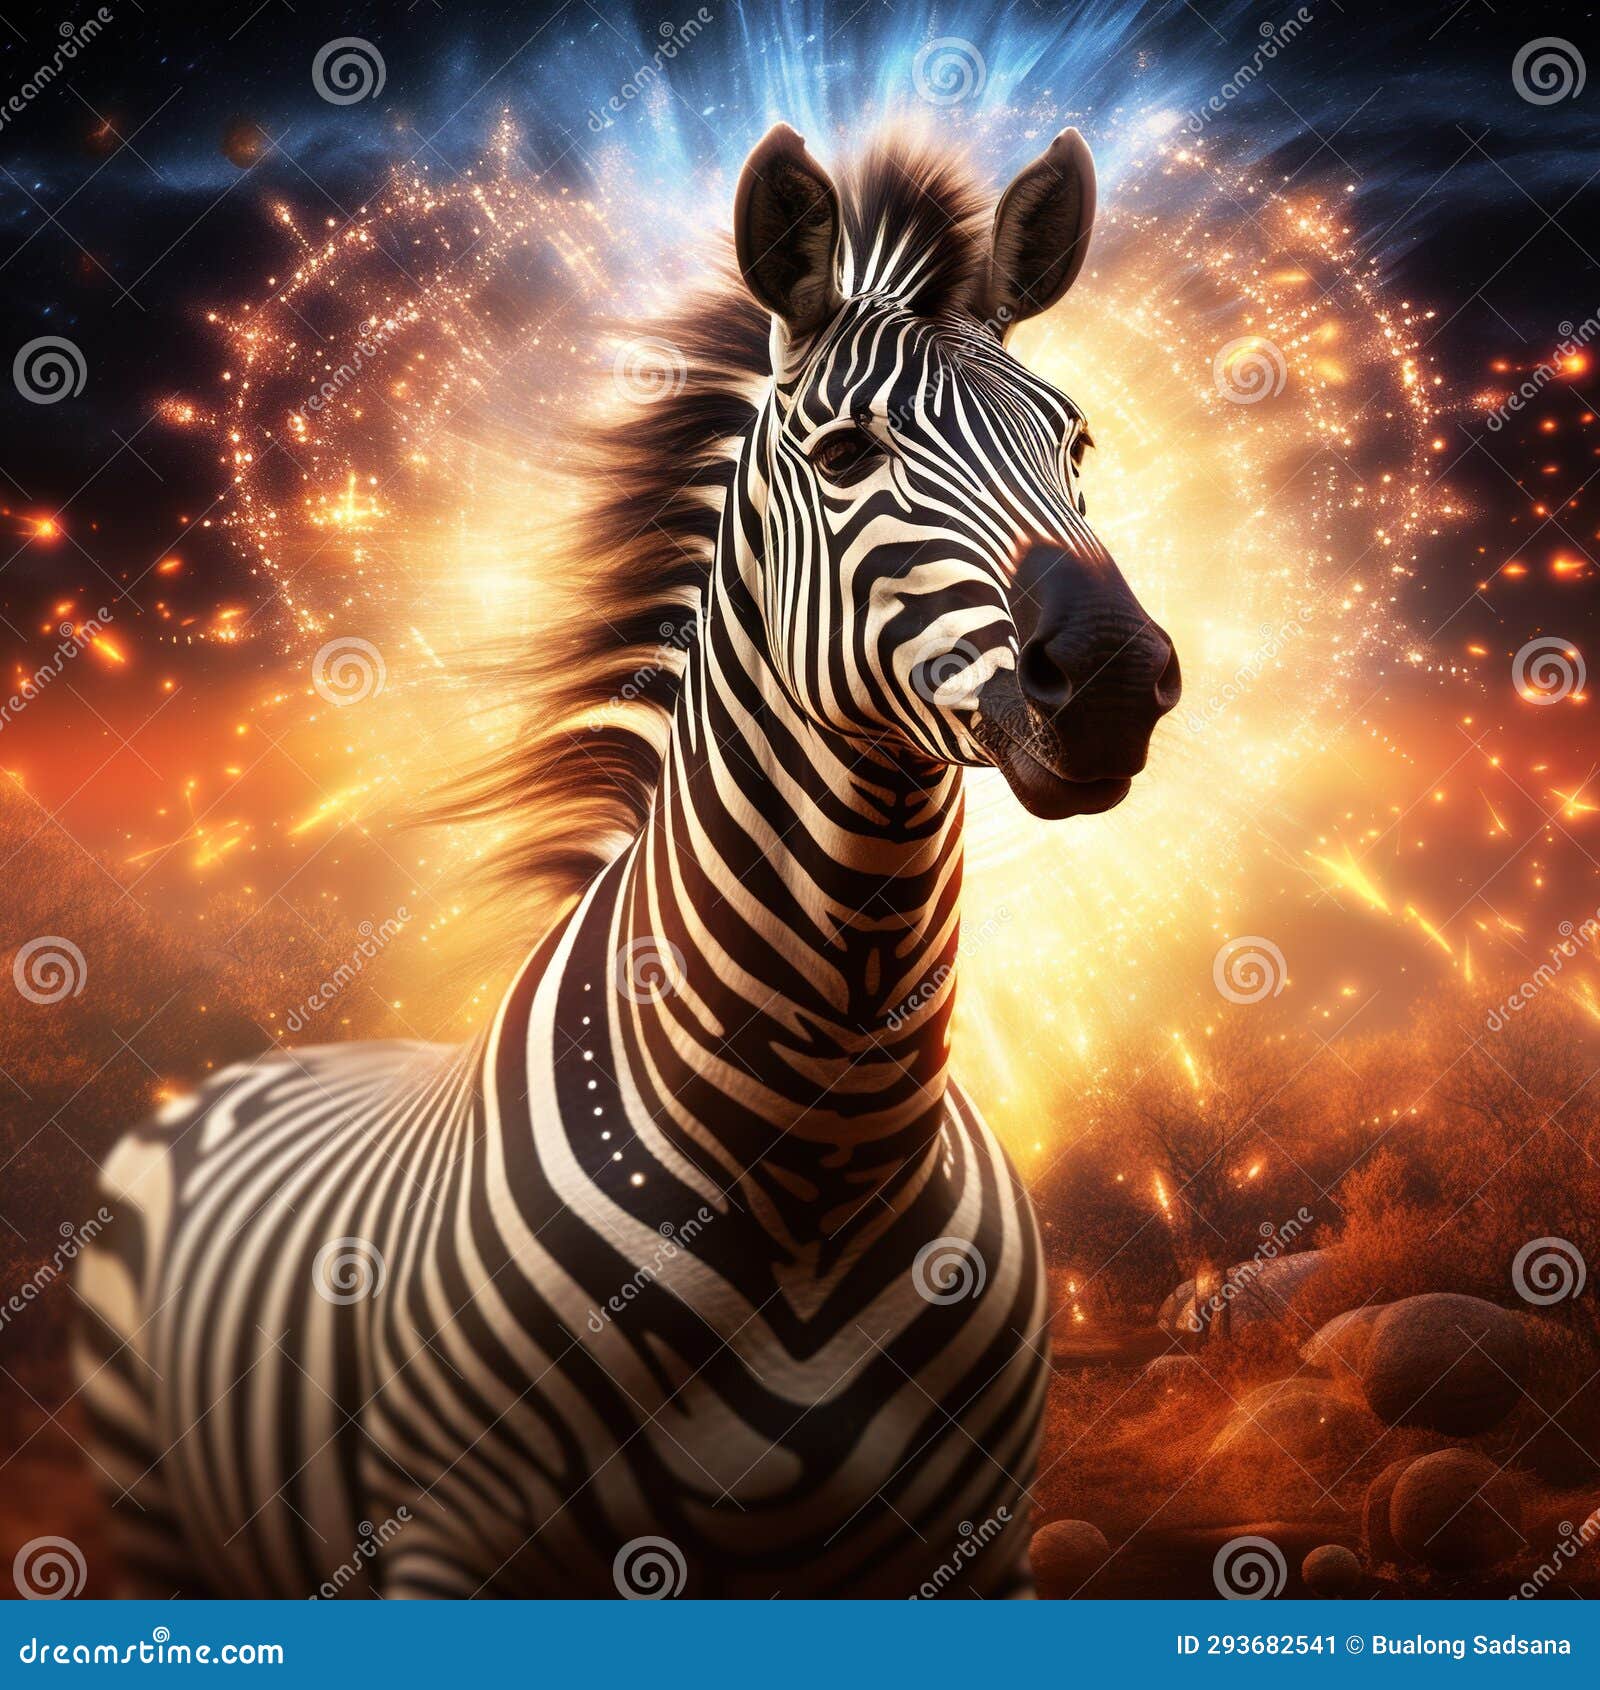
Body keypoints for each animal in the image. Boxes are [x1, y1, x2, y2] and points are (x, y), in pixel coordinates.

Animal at [75, 124, 1179, 1599]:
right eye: (843, 451)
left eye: (1076, 440)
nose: (1113, 676)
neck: (821, 1169)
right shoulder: (441, 1543)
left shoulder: (975, 1546)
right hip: (153, 1523)